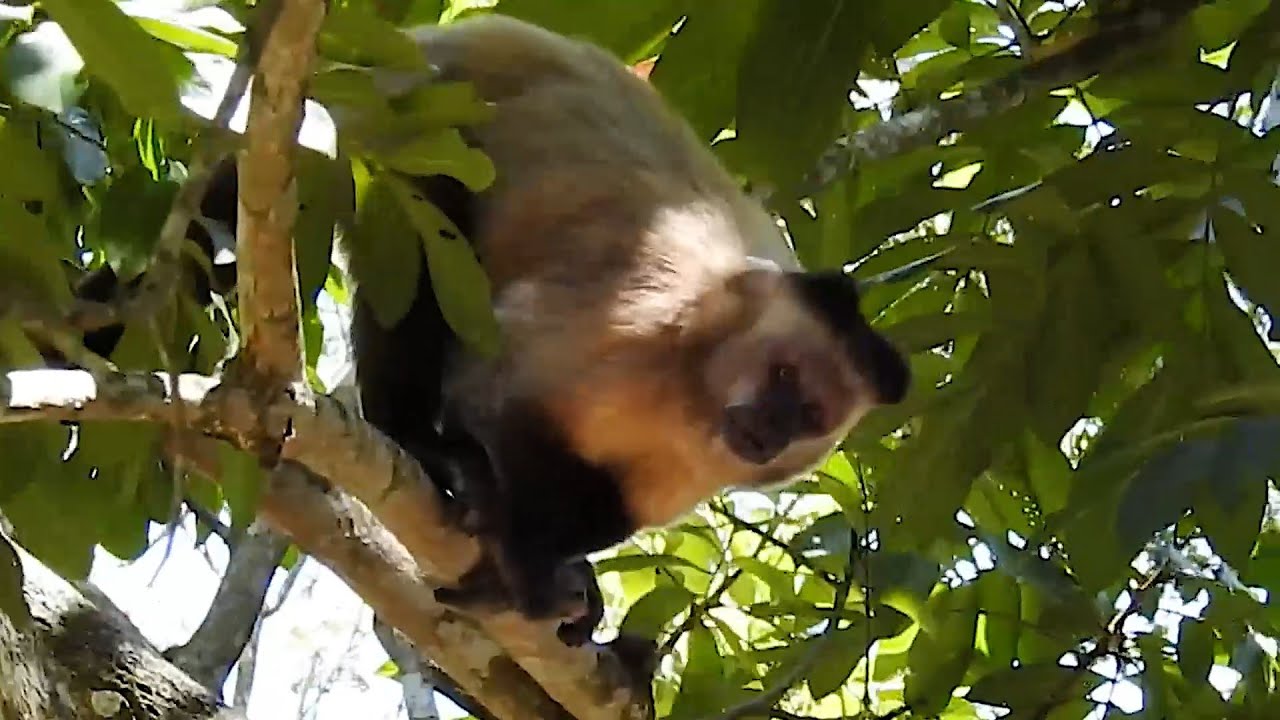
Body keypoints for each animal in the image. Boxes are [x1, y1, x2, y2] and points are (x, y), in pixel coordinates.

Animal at [344, 15, 911, 630]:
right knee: (424, 245)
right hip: (414, 108)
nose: (771, 428)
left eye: (810, 415)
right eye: (783, 374)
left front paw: (544, 561)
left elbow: (610, 509)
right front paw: (520, 551)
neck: (687, 395)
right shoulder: (640, 328)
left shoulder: (700, 464)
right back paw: (416, 439)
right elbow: (497, 388)